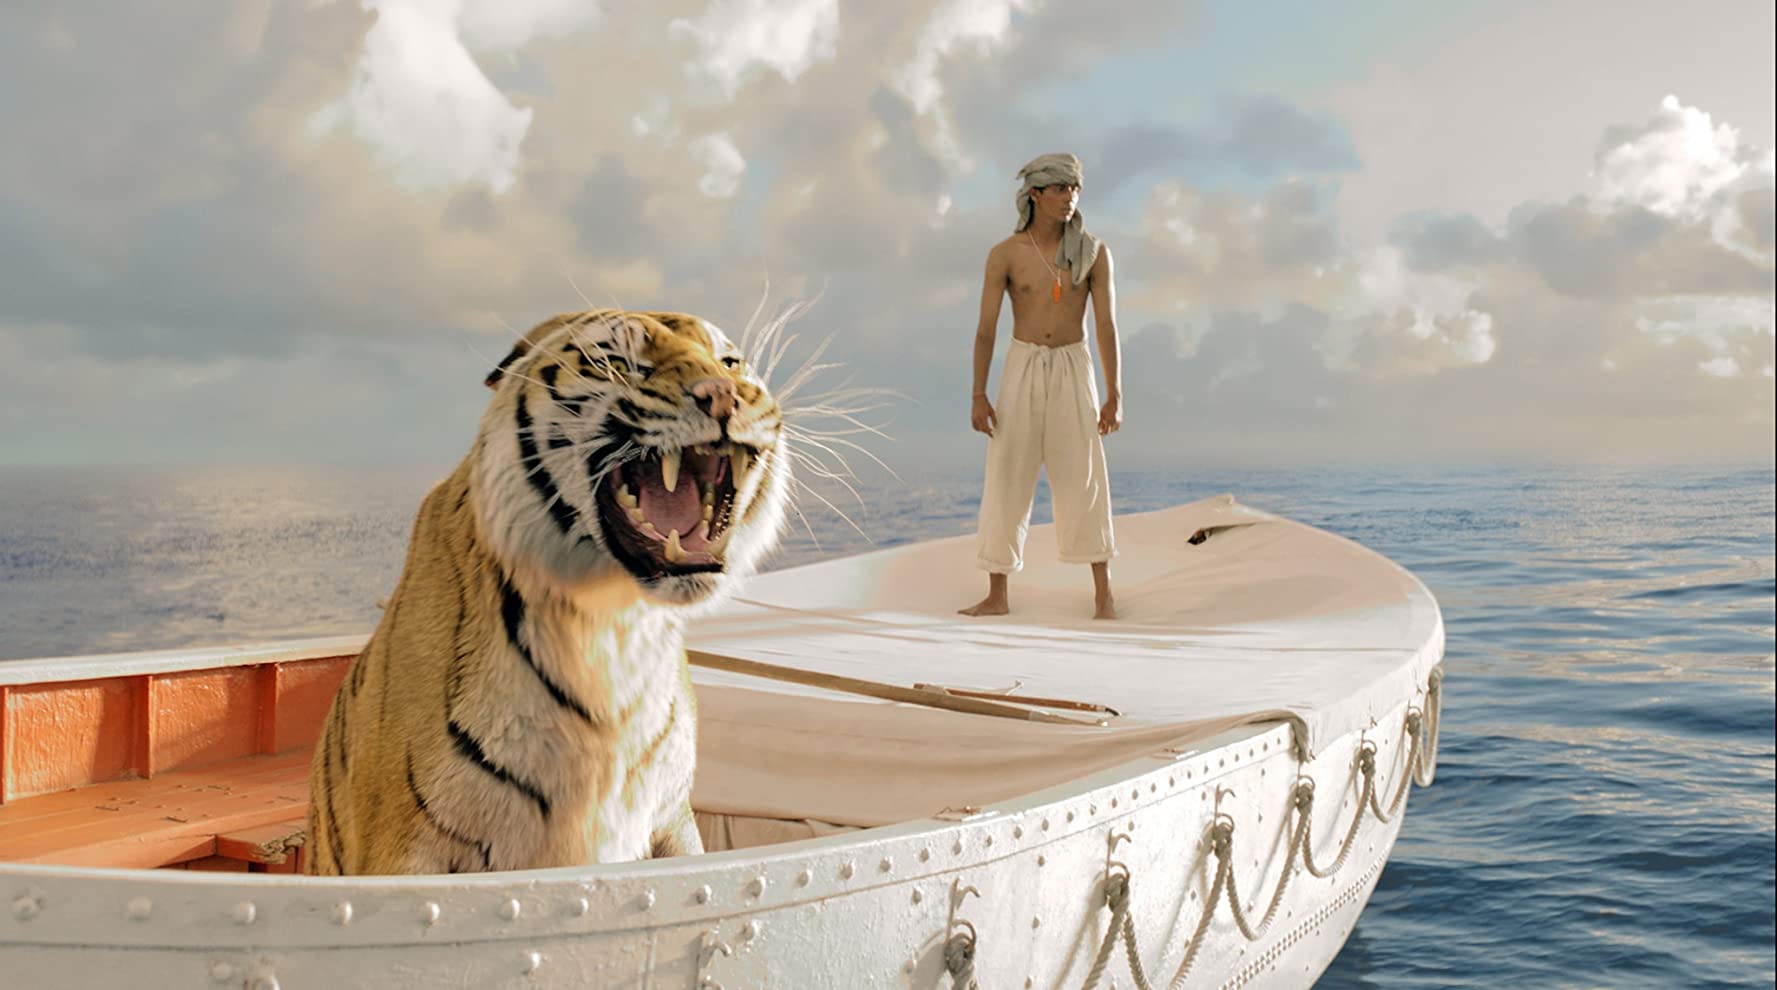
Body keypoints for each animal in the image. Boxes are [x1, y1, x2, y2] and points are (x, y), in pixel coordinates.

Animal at [304, 308, 792, 875]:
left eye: (729, 362)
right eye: (617, 361)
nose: (723, 395)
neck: (613, 621)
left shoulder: (670, 816)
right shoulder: (405, 854)